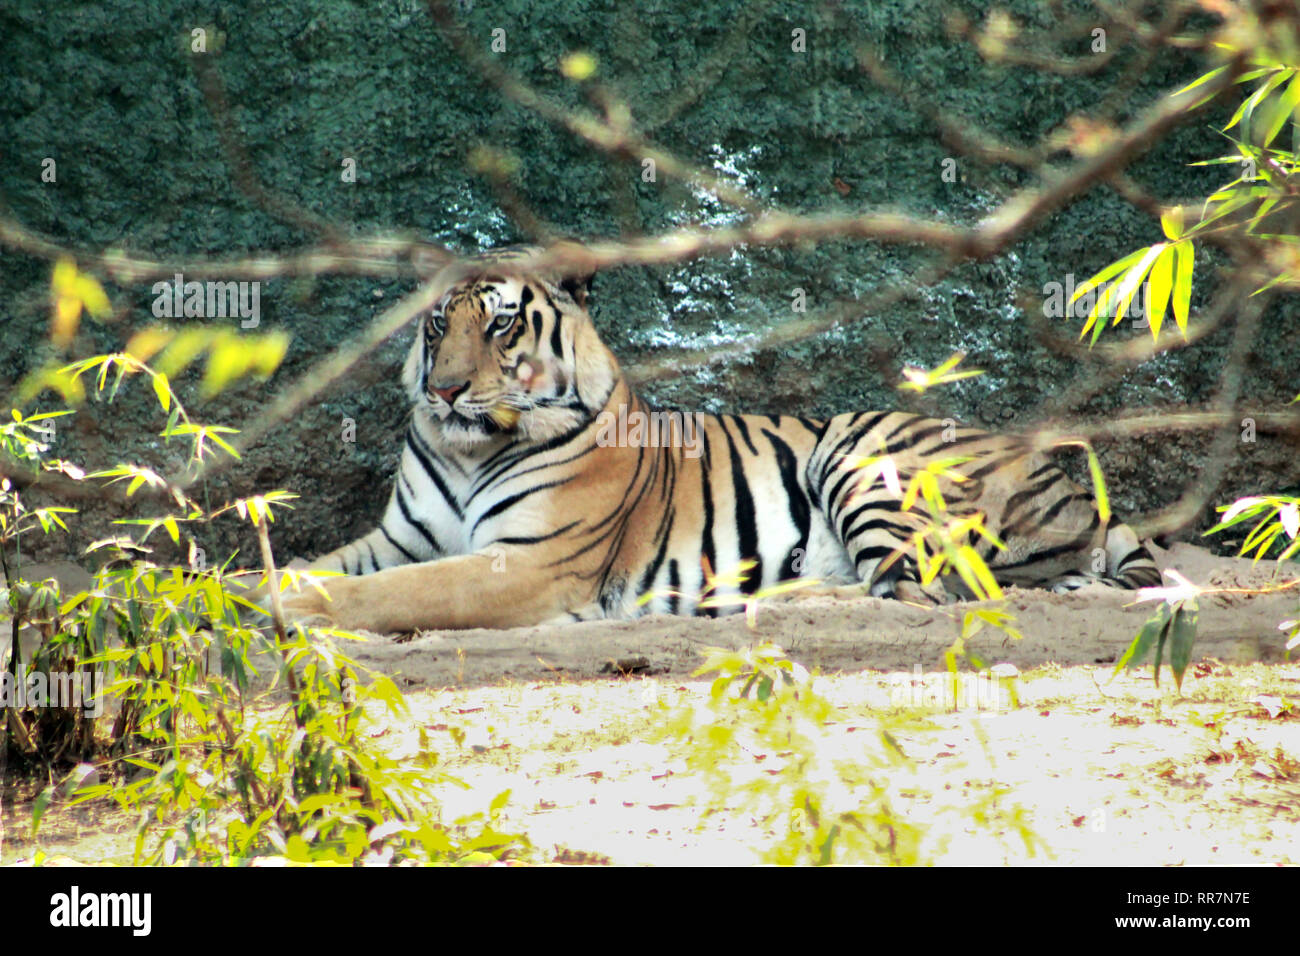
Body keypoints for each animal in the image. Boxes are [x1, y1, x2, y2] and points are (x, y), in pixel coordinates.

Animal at [268, 245, 1162, 633]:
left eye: (499, 325)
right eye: (436, 326)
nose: (445, 389)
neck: (467, 445)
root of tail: (1067, 476)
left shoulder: (525, 563)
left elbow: (397, 594)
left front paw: (290, 606)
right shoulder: (398, 538)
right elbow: (316, 564)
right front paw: (246, 589)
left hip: (865, 458)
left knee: (919, 591)